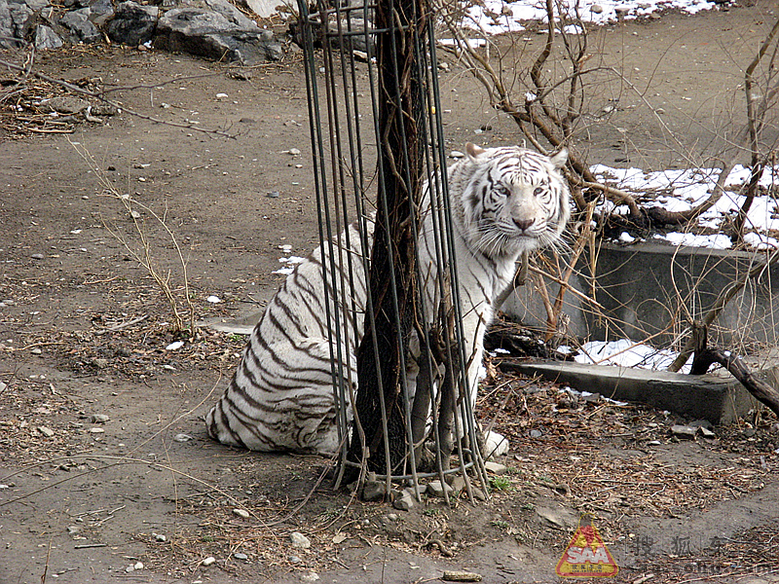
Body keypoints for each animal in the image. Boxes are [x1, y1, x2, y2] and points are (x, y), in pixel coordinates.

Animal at [205, 143, 571, 455]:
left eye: (539, 190)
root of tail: (219, 415)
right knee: (316, 437)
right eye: (504, 190)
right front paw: (472, 445)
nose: (524, 222)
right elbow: (463, 388)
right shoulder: (462, 323)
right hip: (338, 358)